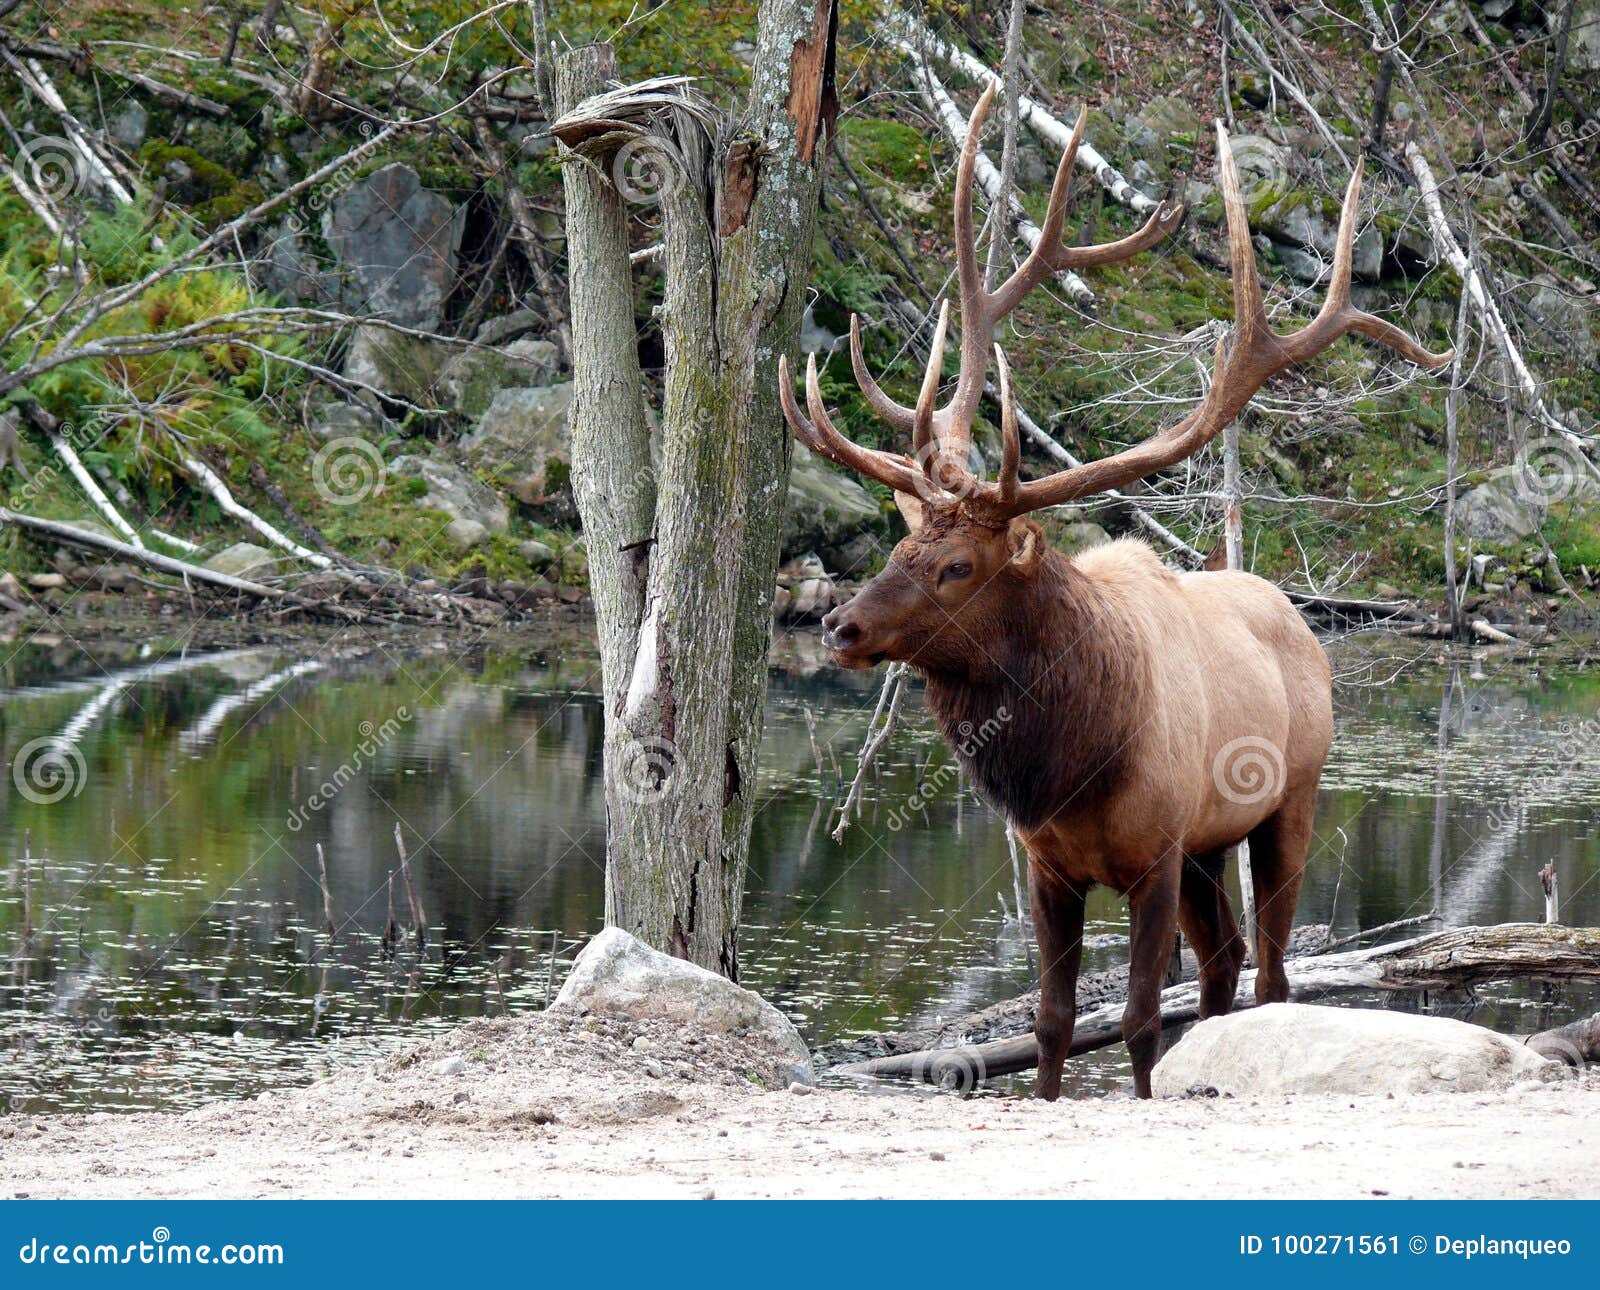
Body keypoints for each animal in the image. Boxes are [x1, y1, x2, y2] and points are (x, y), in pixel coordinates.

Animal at [779, 82, 1450, 1099]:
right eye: (904, 542)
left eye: (958, 565)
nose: (843, 626)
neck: (1073, 761)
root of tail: (1294, 614)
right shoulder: (1047, 868)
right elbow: (1054, 1021)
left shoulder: (1155, 854)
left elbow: (1135, 1019)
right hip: (1213, 843)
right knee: (1223, 968)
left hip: (1288, 798)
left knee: (1271, 970)